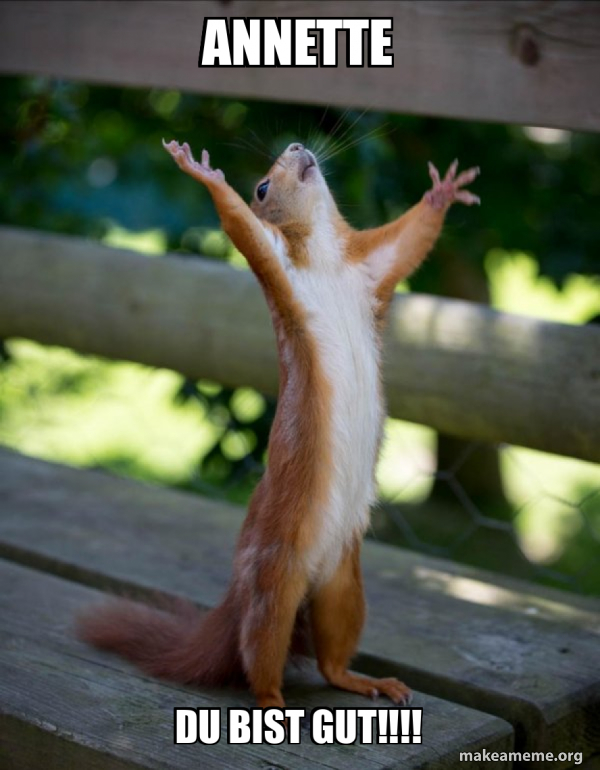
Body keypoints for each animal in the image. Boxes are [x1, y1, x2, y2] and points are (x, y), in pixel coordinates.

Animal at [77, 138, 480, 710]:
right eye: (262, 187)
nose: (296, 146)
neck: (327, 258)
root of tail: (238, 596)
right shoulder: (276, 264)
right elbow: (240, 225)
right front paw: (204, 173)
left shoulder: (372, 267)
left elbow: (410, 240)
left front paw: (442, 192)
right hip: (274, 583)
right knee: (259, 654)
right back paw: (274, 704)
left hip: (344, 586)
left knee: (332, 658)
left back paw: (367, 681)